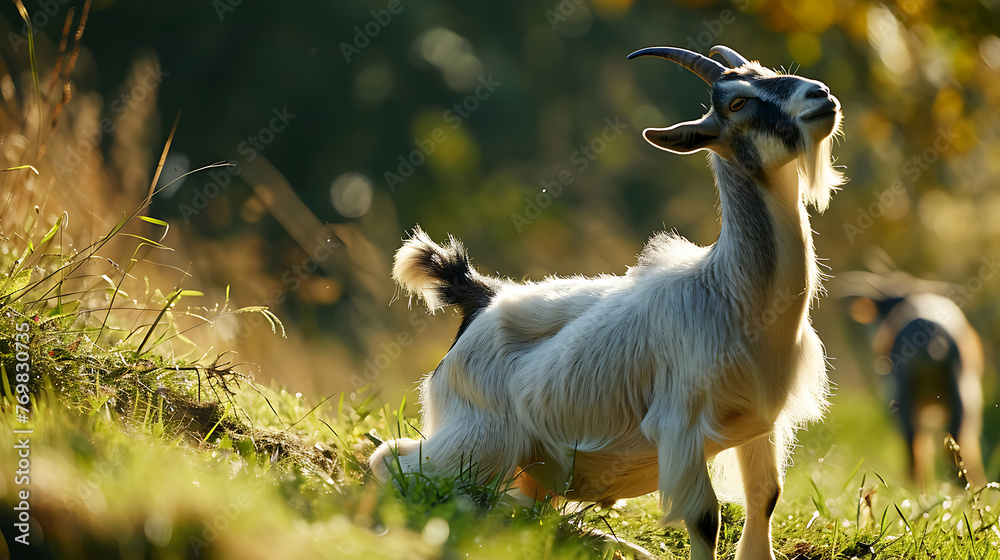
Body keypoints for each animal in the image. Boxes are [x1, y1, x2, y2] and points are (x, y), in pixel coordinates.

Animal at [370, 44, 844, 560]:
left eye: (772, 73)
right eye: (736, 103)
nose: (820, 94)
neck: (732, 292)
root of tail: (480, 295)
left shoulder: (758, 424)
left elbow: (765, 498)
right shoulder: (680, 424)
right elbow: (704, 518)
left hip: (528, 465)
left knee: (520, 508)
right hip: (478, 441)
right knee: (397, 464)